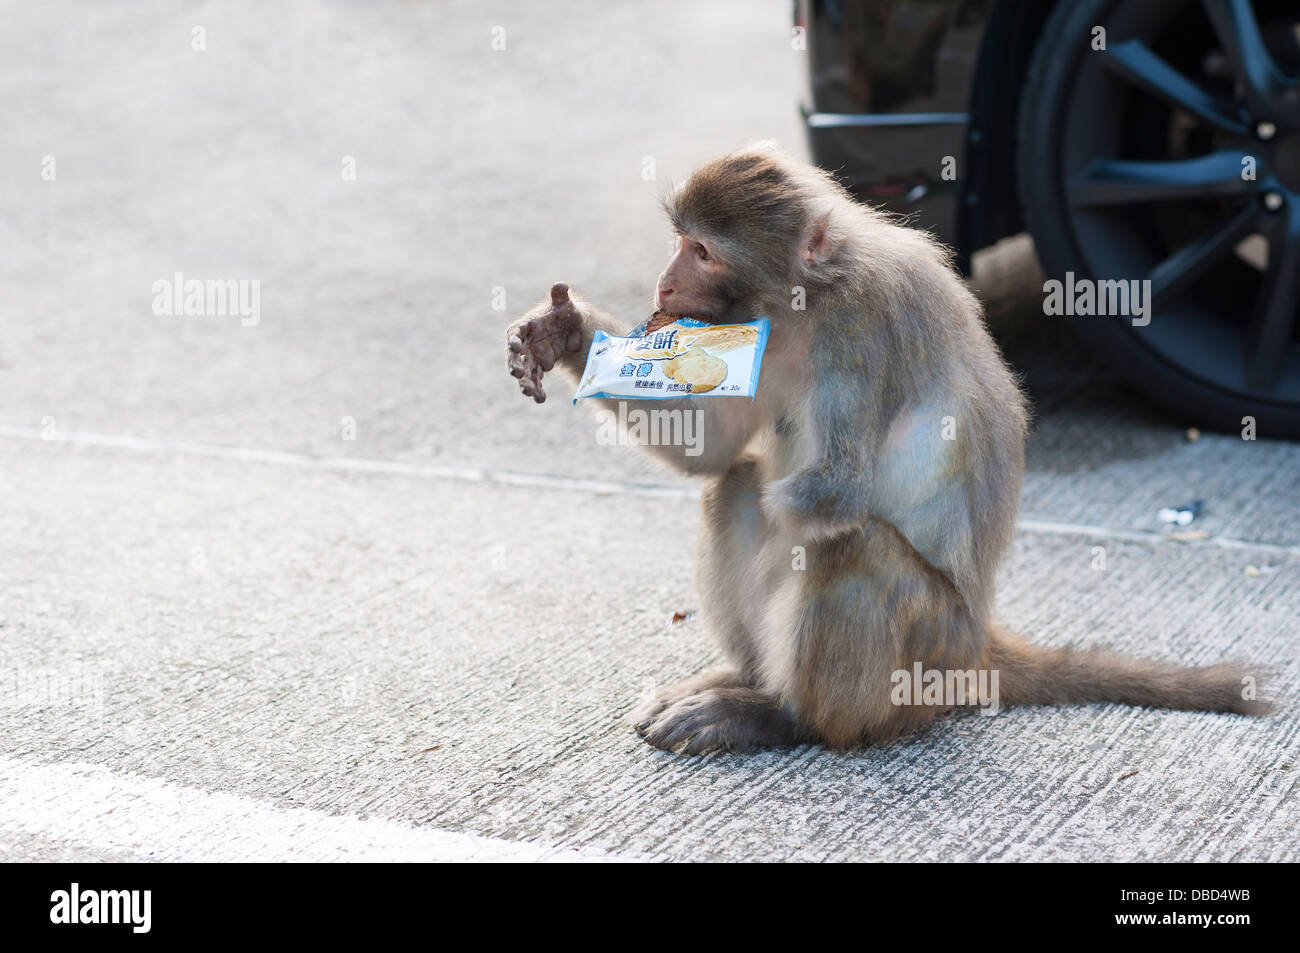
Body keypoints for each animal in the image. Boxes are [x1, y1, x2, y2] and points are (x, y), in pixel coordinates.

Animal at [505, 145, 1271, 755]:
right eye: (680, 240)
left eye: (702, 251)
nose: (664, 285)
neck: (805, 304)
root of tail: (975, 644)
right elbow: (713, 454)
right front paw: (566, 333)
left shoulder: (860, 327)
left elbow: (830, 493)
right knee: (735, 488)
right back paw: (750, 678)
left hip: (925, 658)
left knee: (849, 545)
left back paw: (783, 715)